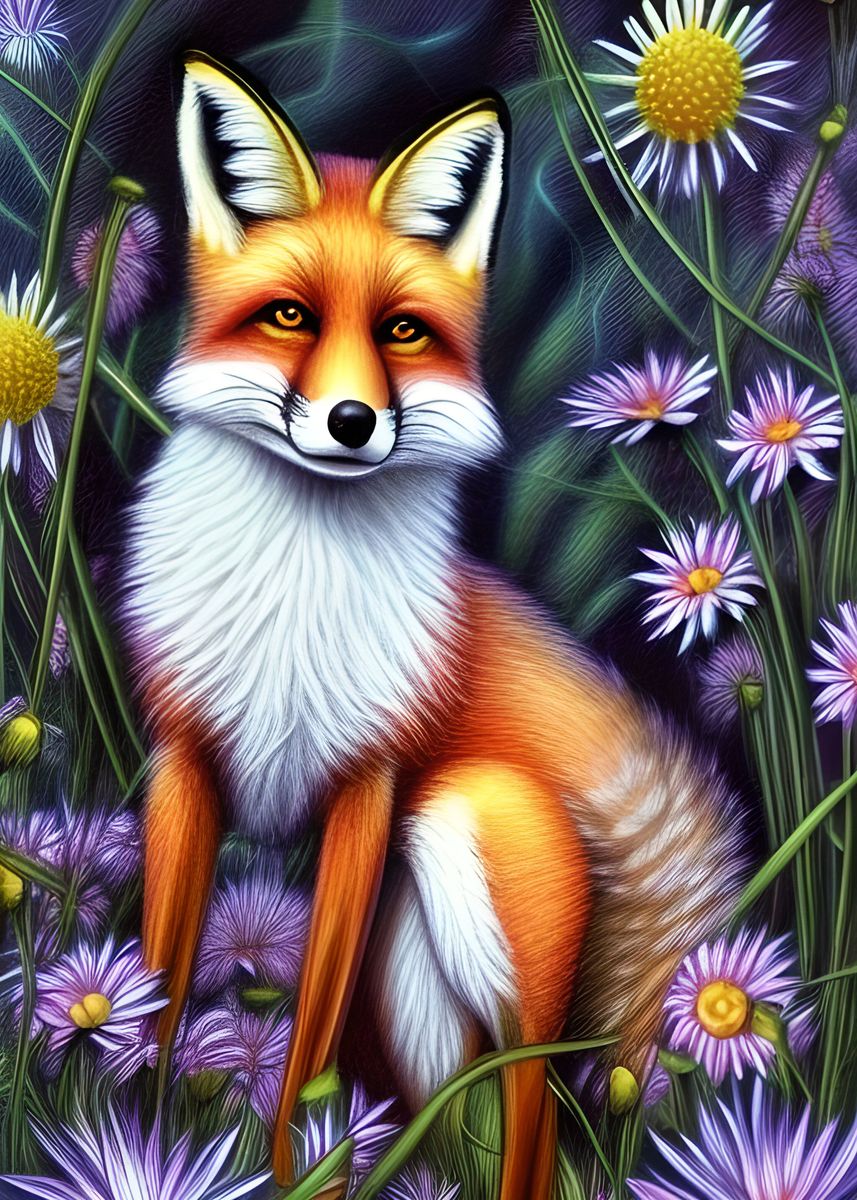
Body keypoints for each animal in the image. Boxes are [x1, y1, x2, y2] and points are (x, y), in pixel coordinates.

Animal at [121, 51, 747, 1199]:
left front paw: (289, 1172)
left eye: (401, 331)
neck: (296, 600)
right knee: (476, 1115)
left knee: (532, 1115)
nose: (351, 423)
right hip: (417, 994)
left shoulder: (366, 791)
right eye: (289, 317)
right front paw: (141, 1139)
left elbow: (308, 1052)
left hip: (466, 825)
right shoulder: (184, 763)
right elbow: (157, 987)